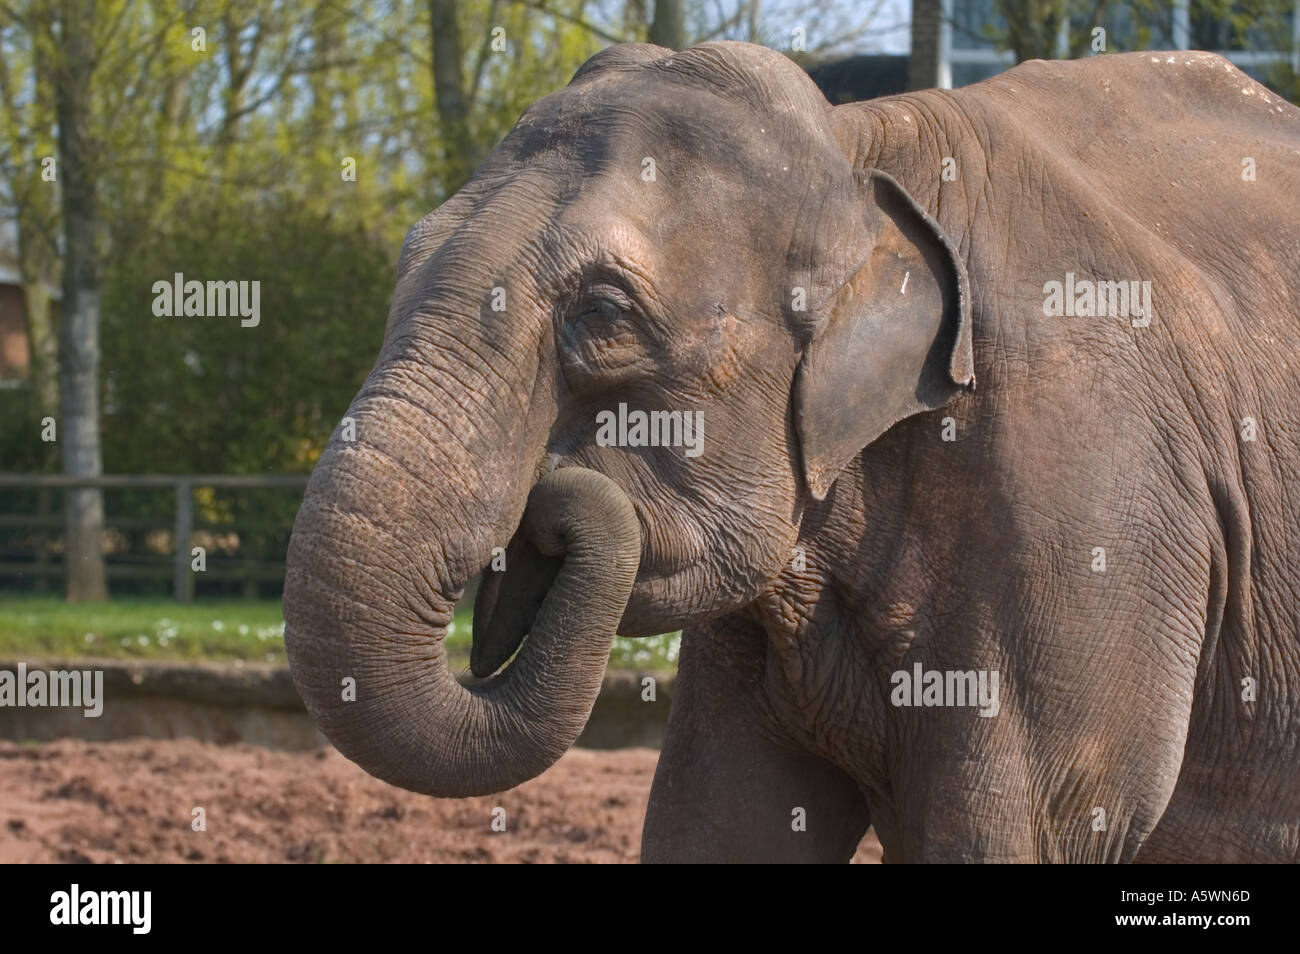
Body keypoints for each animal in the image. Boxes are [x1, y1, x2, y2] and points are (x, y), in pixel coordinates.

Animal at [283, 42, 1300, 863]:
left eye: (604, 315)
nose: (549, 509)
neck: (866, 148)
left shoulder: (1087, 498)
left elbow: (1025, 829)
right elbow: (720, 820)